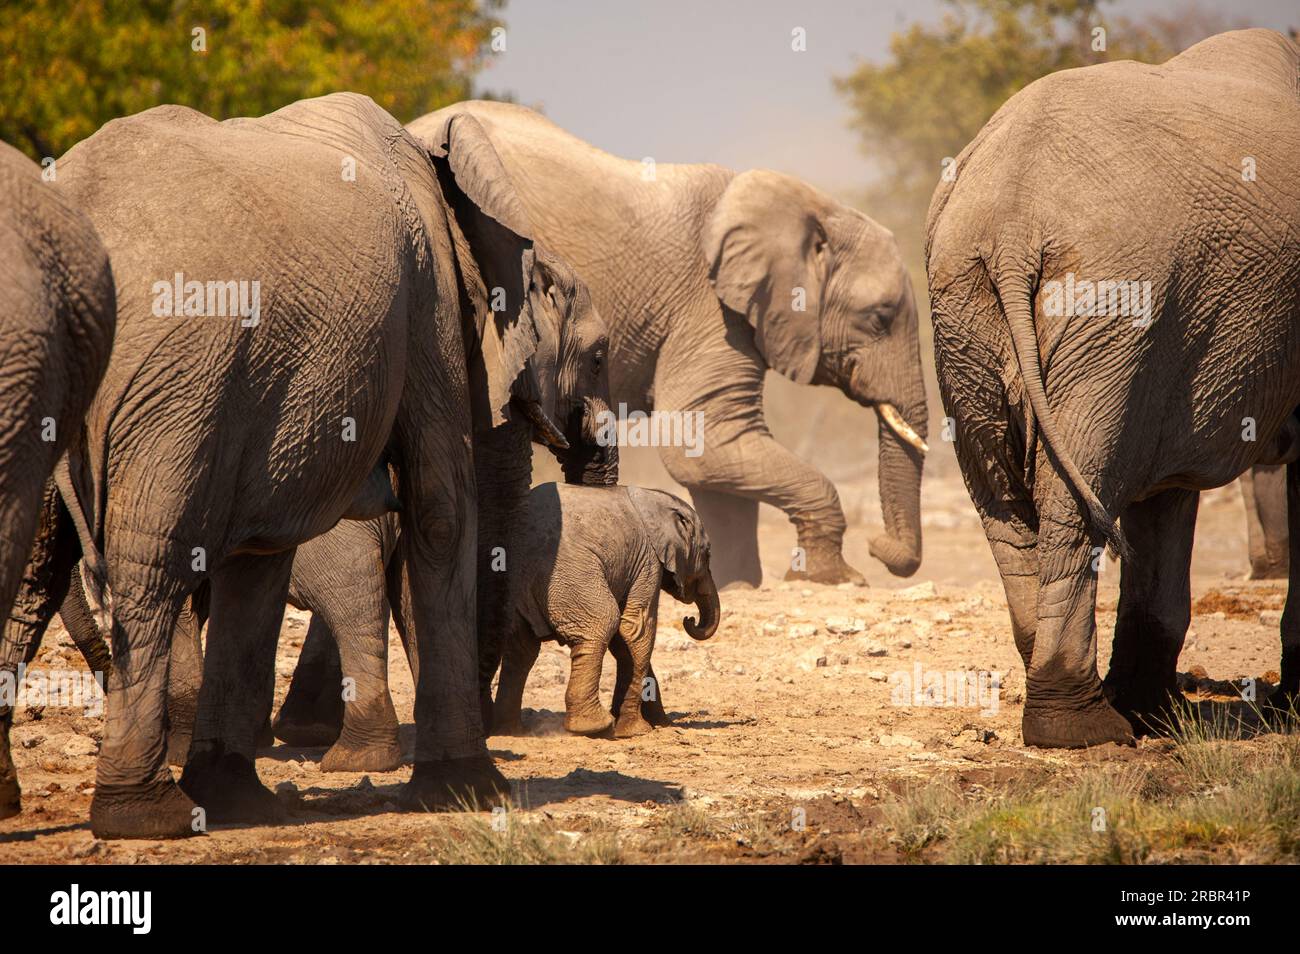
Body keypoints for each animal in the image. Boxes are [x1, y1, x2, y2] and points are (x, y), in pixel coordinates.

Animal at [0, 93, 569, 838]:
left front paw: (235, 798)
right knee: (151, 564)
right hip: (177, 378)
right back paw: (144, 815)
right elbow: (442, 508)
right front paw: (471, 790)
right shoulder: (429, 298)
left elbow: (260, 552)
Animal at [406, 102, 930, 589]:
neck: (813, 207)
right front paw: (838, 579)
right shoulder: (710, 309)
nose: (879, 547)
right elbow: (703, 442)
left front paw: (738, 584)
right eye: (880, 318)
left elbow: (717, 459)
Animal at [494, 483, 719, 738]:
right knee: (602, 622)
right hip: (569, 576)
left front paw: (658, 723)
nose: (689, 619)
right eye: (708, 554)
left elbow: (624, 640)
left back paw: (509, 730)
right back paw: (594, 726)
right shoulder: (648, 561)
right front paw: (636, 731)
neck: (652, 497)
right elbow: (635, 627)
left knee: (520, 650)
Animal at [925, 29, 1300, 748]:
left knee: (1003, 501)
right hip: (1109, 301)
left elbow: (1164, 498)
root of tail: (1011, 219)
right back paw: (1084, 728)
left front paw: (1159, 713)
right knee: (1071, 495)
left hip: (968, 307)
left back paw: (1097, 711)